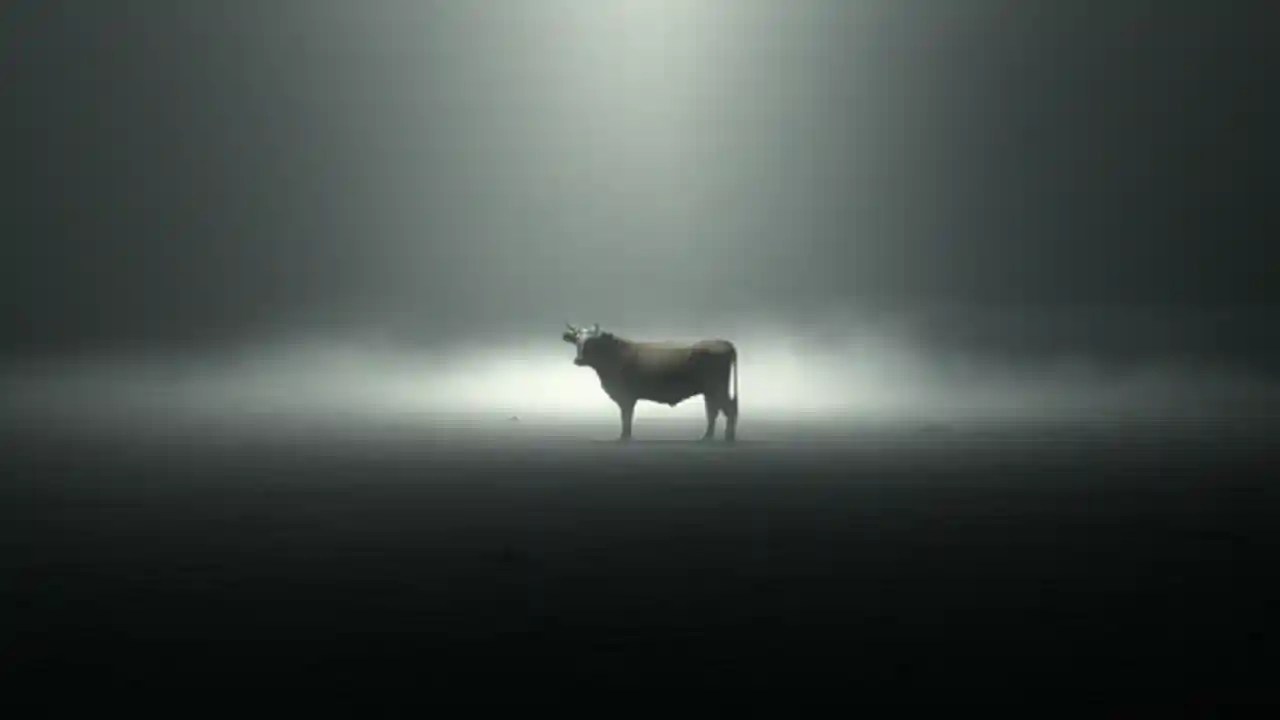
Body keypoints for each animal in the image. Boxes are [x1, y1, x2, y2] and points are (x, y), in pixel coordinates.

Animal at [562, 323, 738, 443]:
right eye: (577, 341)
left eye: (593, 342)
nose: (578, 360)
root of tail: (725, 343)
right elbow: (626, 417)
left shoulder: (626, 396)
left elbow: (626, 416)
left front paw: (624, 437)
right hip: (710, 391)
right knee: (713, 411)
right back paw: (707, 437)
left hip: (717, 388)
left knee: (728, 409)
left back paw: (728, 438)